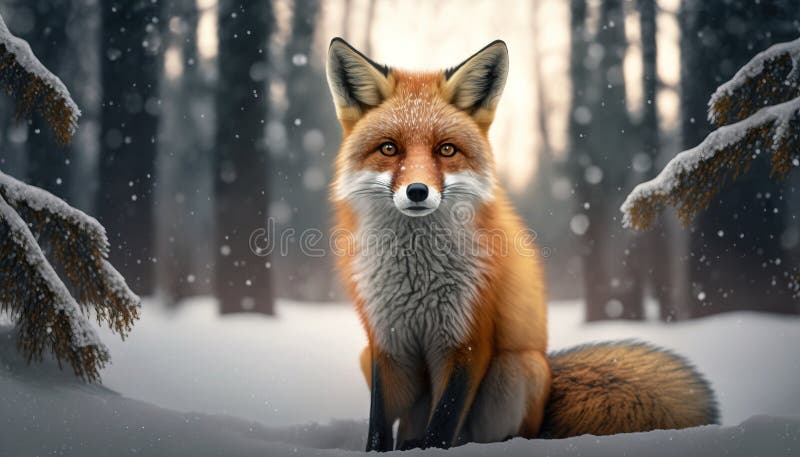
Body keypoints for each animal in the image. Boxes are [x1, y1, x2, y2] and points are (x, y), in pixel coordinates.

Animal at [324, 38, 718, 451]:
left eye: (446, 150)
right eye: (389, 149)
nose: (418, 191)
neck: (416, 278)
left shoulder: (468, 342)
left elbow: (442, 425)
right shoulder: (386, 344)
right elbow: (379, 427)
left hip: (519, 368)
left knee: (495, 436)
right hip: (369, 358)